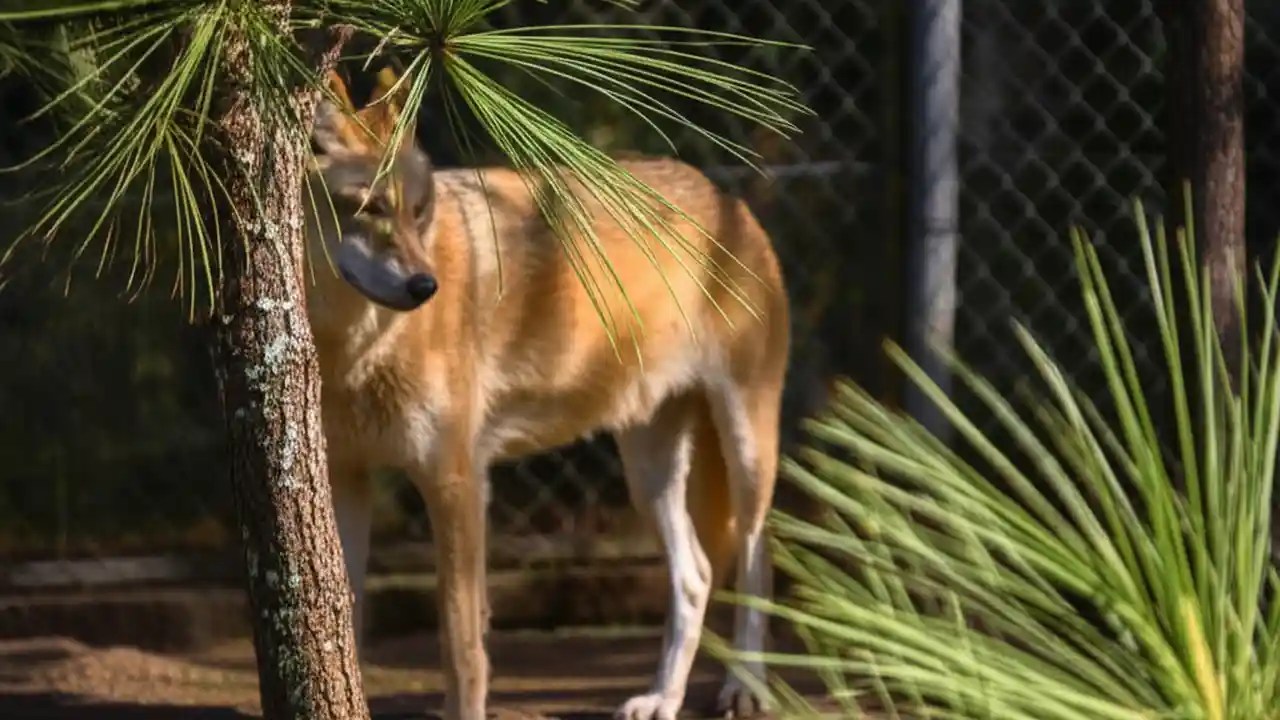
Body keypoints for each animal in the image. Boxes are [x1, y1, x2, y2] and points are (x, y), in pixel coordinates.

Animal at [303, 67, 791, 720]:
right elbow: (343, 623)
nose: (426, 286)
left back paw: (746, 688)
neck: (355, 346)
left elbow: (461, 646)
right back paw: (661, 699)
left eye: (418, 211)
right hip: (648, 475)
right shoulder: (346, 480)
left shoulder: (457, 482)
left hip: (745, 451)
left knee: (759, 563)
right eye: (367, 208)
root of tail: (726, 197)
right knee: (698, 576)